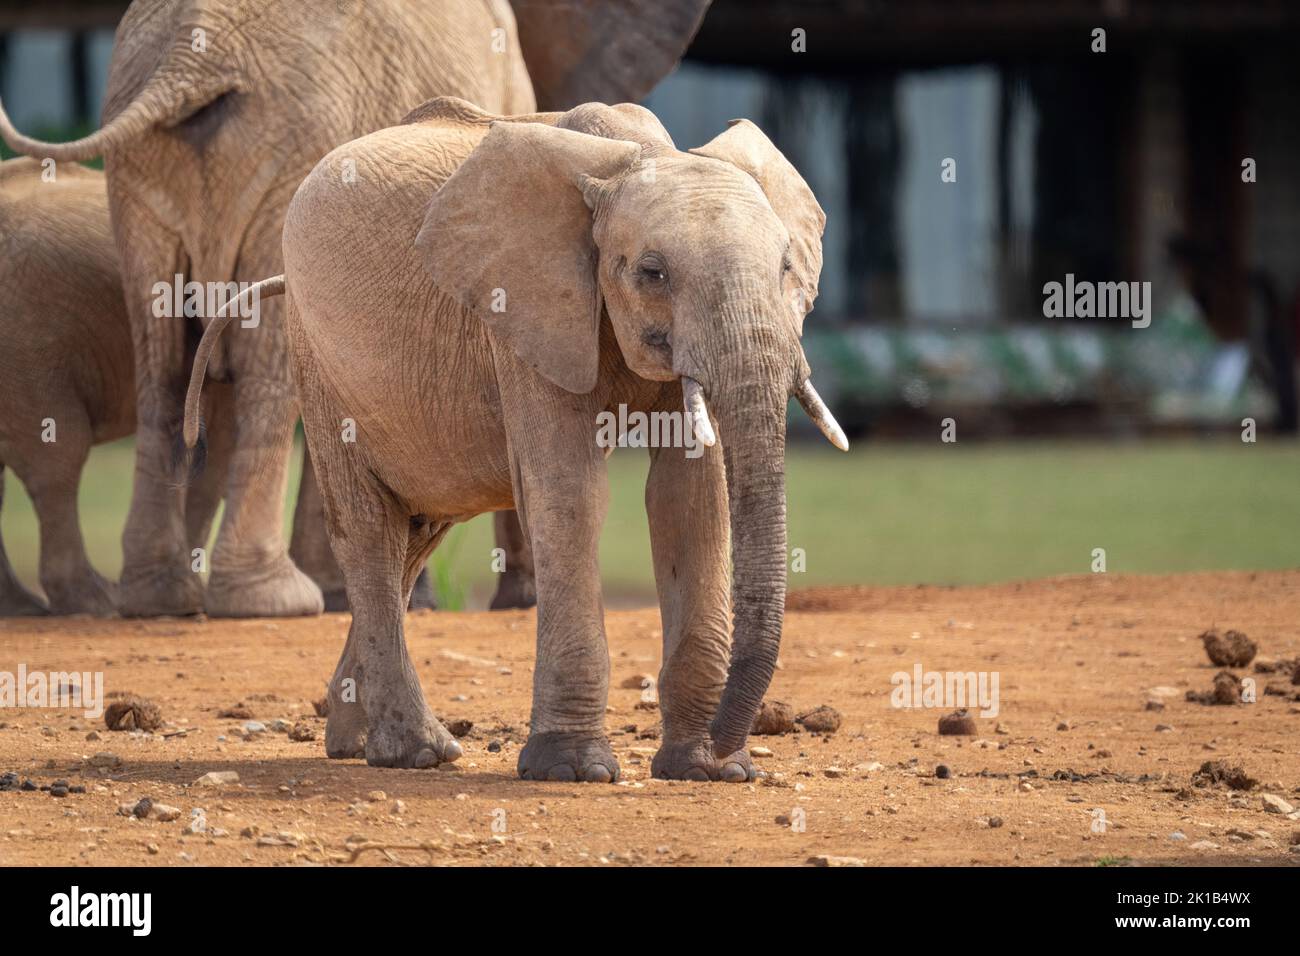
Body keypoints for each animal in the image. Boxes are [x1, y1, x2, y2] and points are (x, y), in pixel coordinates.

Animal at [0, 0, 709, 618]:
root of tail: (187, 55)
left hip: (150, 160)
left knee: (165, 360)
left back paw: (161, 600)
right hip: (292, 149)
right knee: (259, 371)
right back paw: (272, 603)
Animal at [182, 97, 848, 779]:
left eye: (785, 268)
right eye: (652, 273)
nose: (726, 744)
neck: (635, 159)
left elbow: (686, 501)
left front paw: (705, 770)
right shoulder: (520, 309)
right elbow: (570, 493)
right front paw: (573, 771)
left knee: (414, 532)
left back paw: (354, 743)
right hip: (315, 356)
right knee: (370, 530)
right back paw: (417, 753)